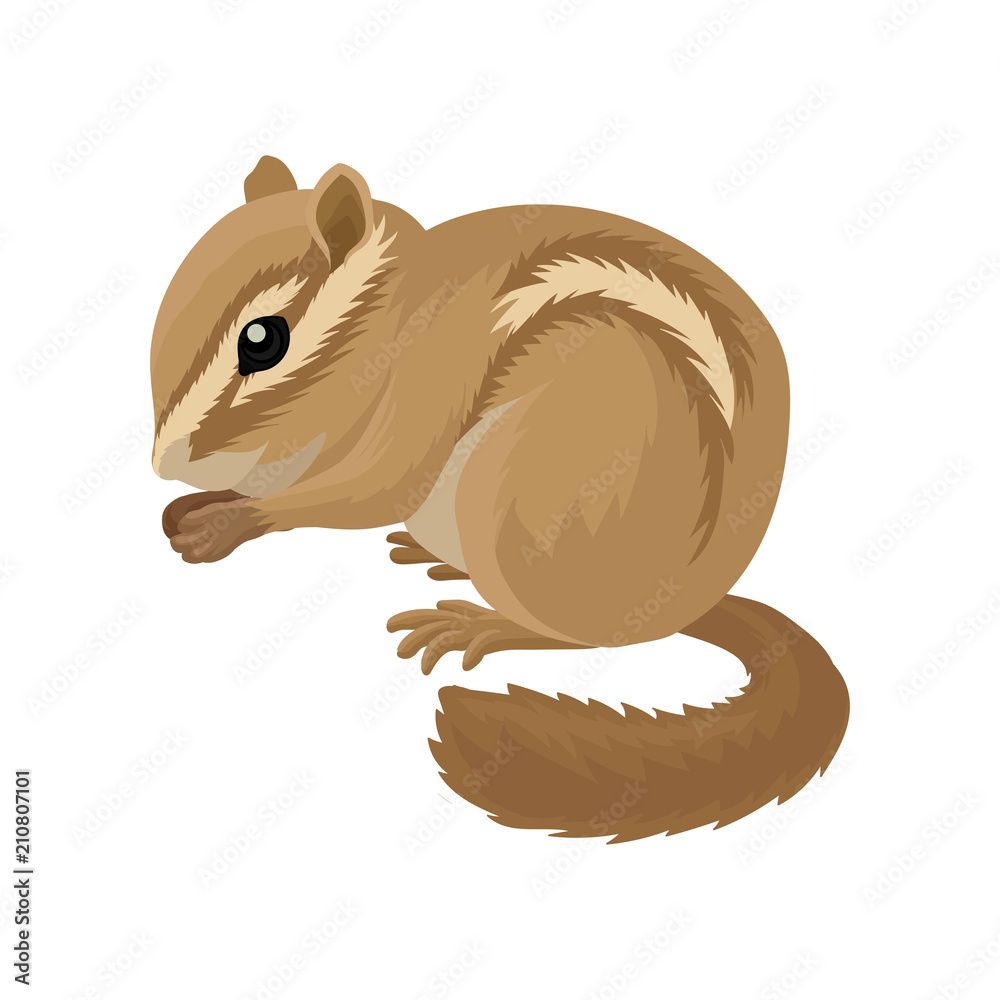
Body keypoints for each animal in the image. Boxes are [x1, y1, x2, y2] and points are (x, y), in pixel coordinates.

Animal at [150, 155, 849, 843]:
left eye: (262, 340)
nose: (164, 463)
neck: (391, 321)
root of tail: (689, 602)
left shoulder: (416, 410)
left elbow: (363, 494)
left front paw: (226, 523)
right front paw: (191, 510)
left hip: (512, 512)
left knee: (576, 636)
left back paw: (477, 623)